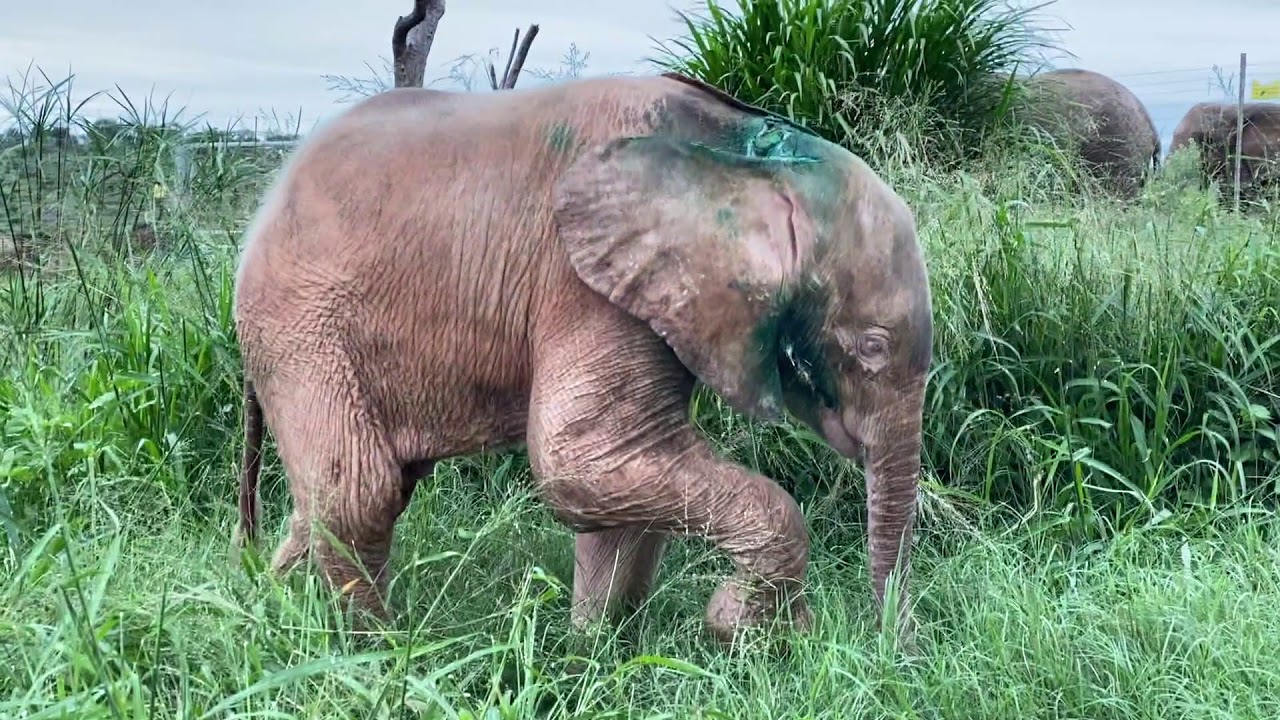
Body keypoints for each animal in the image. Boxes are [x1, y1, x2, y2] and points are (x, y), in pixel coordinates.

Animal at [229, 71, 934, 646]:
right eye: (870, 347)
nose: (889, 653)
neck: (756, 155)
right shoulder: (580, 281)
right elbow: (579, 461)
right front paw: (744, 626)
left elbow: (619, 488)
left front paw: (598, 654)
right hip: (302, 327)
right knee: (360, 493)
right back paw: (377, 652)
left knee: (344, 500)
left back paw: (272, 611)